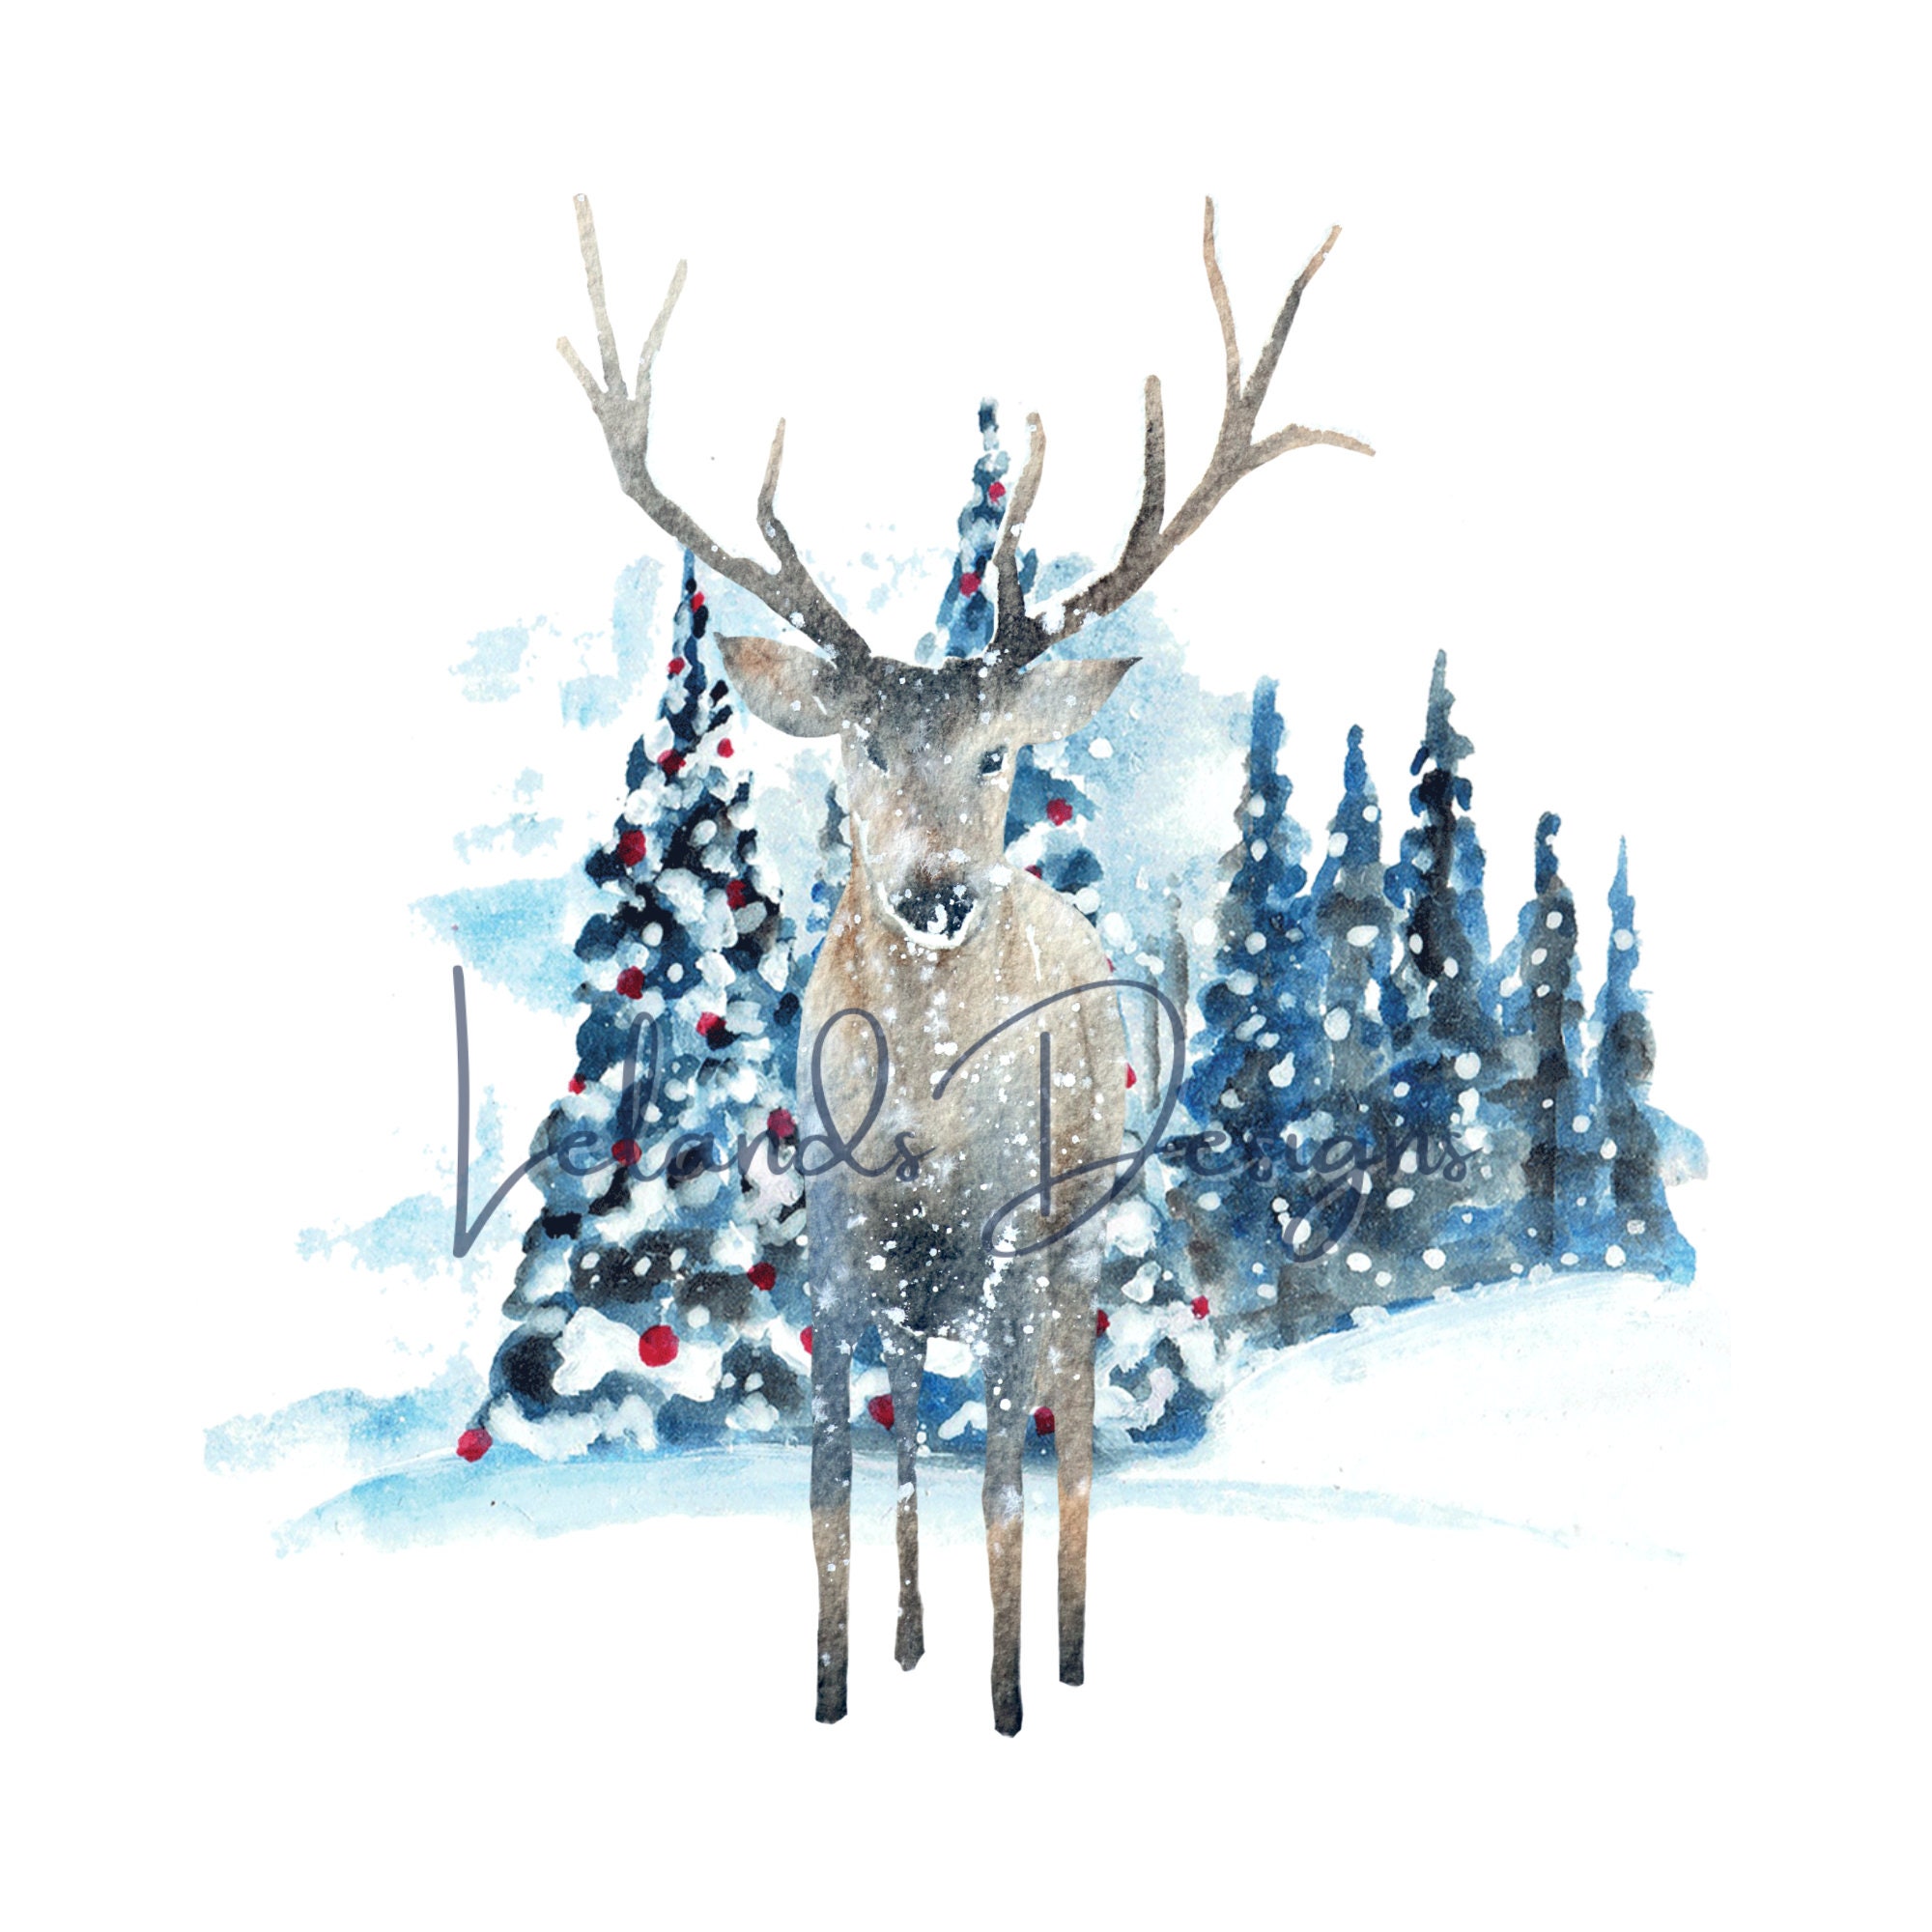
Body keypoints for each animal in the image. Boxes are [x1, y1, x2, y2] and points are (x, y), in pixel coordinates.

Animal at [559, 192, 1371, 1733]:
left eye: (997, 754)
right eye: (865, 745)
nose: (937, 892)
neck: (923, 1138)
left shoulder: (1009, 1249)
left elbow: (1002, 1484)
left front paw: (1005, 1702)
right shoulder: (827, 1254)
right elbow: (828, 1494)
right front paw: (833, 1690)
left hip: (1081, 1249)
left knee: (1067, 1455)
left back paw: (1061, 1654)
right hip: (912, 1300)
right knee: (905, 1450)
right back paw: (912, 1644)